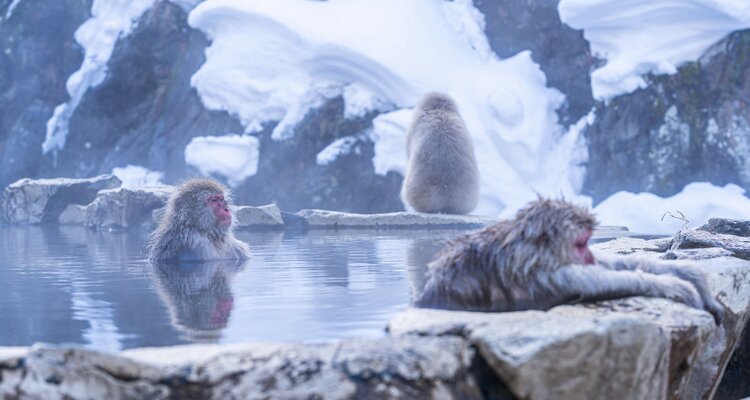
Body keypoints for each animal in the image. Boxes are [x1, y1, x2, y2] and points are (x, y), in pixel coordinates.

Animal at [415, 198, 724, 324]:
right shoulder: (546, 277)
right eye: (580, 243)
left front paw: (689, 275)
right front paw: (677, 286)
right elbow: (603, 283)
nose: (588, 255)